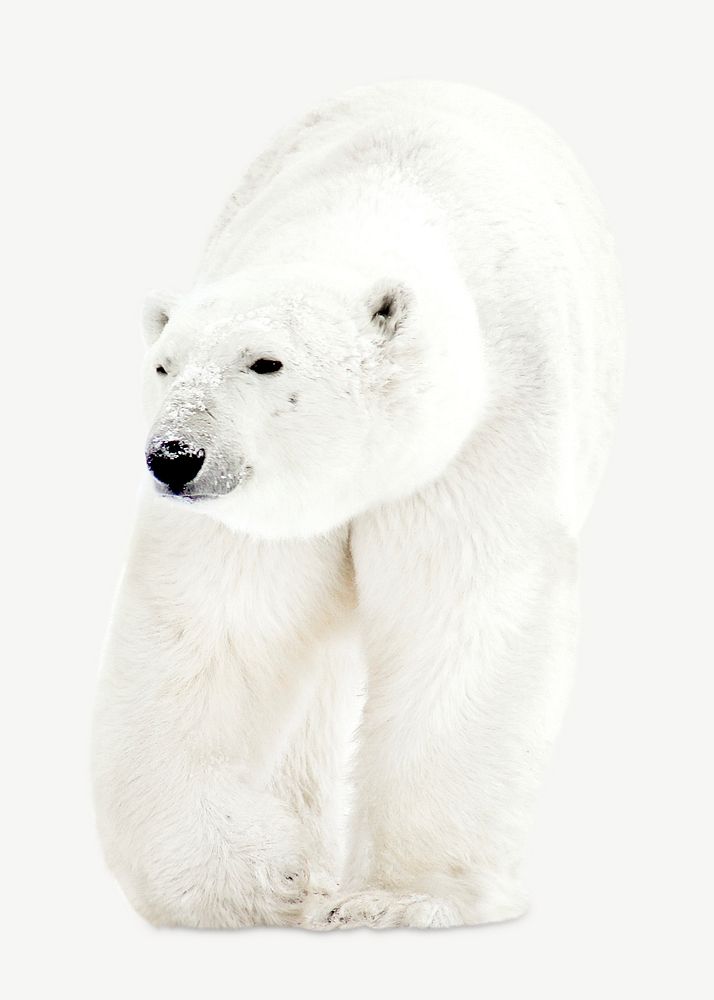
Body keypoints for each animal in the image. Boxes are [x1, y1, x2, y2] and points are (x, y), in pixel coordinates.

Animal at [92, 80, 624, 929]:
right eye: (165, 365)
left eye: (265, 362)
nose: (174, 456)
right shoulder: (260, 516)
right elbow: (215, 628)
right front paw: (246, 879)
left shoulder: (483, 432)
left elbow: (460, 617)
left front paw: (400, 898)